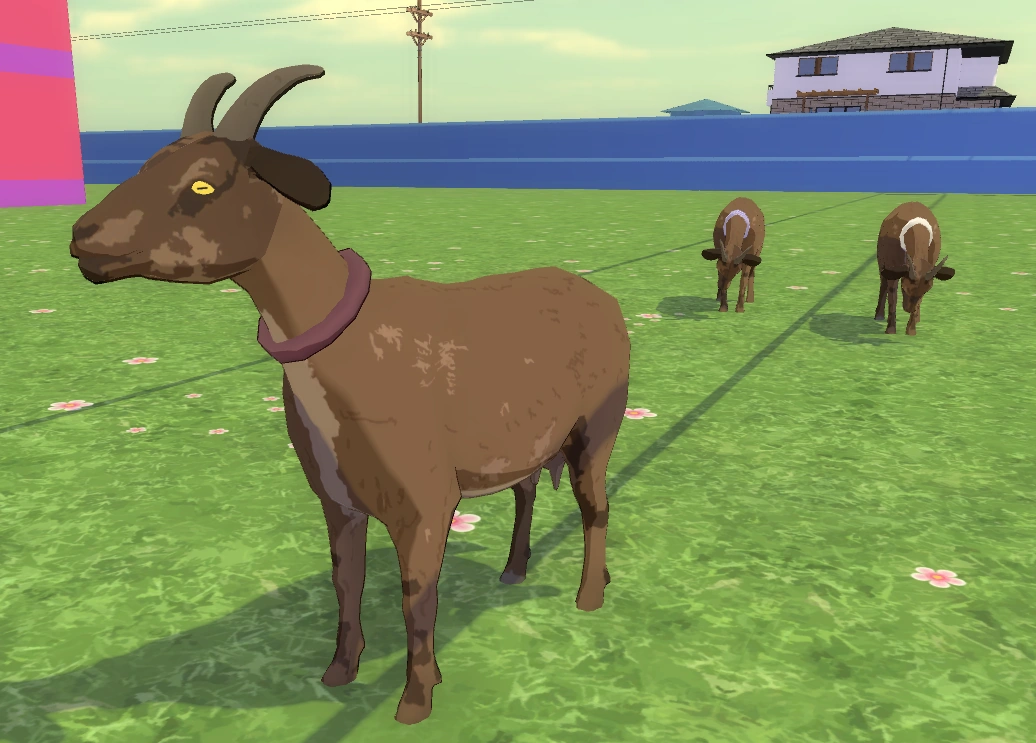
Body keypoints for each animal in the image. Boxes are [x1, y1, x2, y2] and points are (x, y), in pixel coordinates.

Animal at [68, 66, 630, 725]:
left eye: (203, 183)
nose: (81, 237)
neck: (348, 345)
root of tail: (603, 299)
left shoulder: (426, 500)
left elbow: (417, 595)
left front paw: (416, 698)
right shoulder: (337, 498)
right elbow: (347, 579)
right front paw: (340, 671)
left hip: (598, 425)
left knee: (595, 506)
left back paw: (589, 595)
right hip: (527, 437)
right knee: (525, 490)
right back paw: (516, 571)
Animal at [874, 202, 955, 335]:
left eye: (927, 291)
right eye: (903, 288)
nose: (908, 309)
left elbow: (918, 303)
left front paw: (911, 330)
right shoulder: (893, 269)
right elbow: (892, 298)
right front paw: (890, 329)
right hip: (881, 262)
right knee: (883, 283)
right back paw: (879, 315)